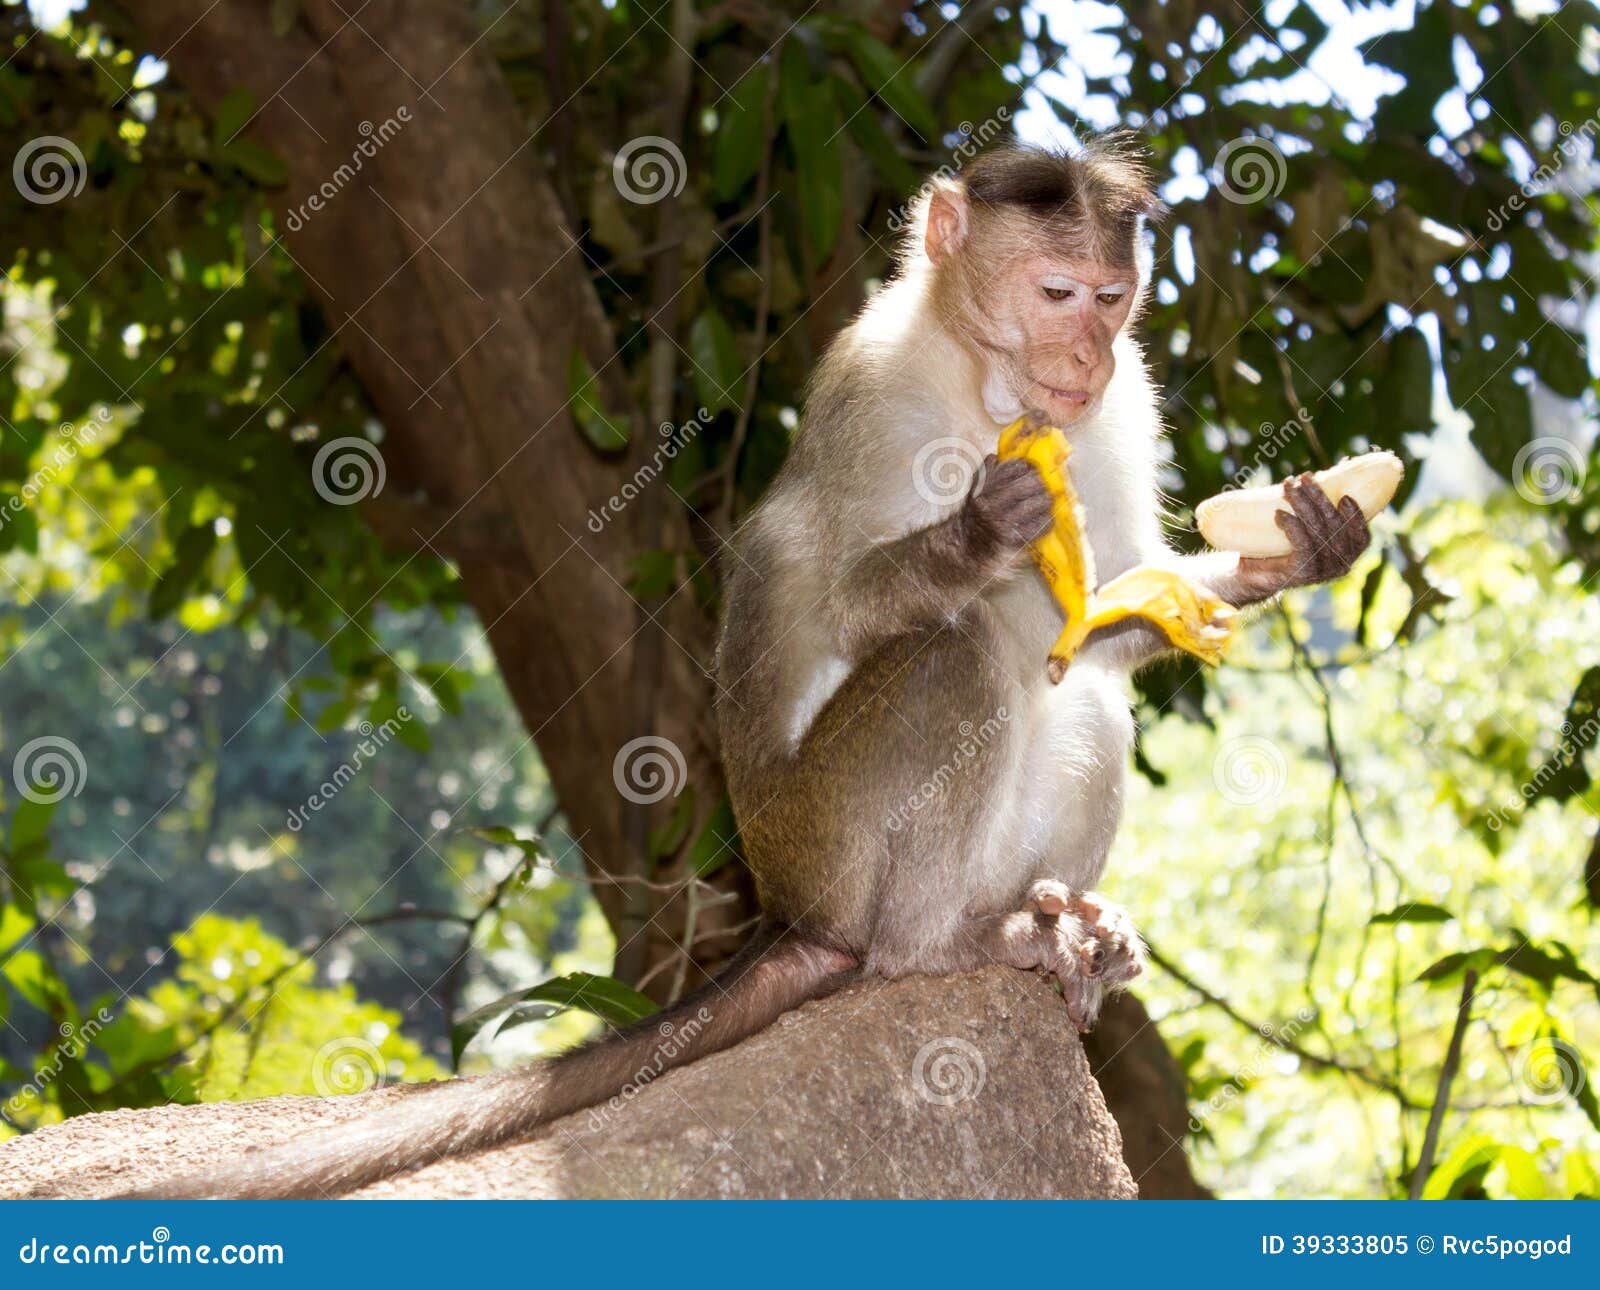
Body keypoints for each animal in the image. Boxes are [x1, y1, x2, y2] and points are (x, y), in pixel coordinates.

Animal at [120, 136, 1368, 1200]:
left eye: (1113, 301)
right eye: (1056, 295)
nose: (1085, 352)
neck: (982, 381)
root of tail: (791, 910)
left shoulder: (1116, 405)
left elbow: (1106, 611)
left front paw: (1291, 551)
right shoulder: (874, 387)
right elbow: (857, 604)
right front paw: (976, 535)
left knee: (1085, 700)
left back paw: (1070, 937)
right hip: (837, 846)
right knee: (950, 655)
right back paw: (938, 947)